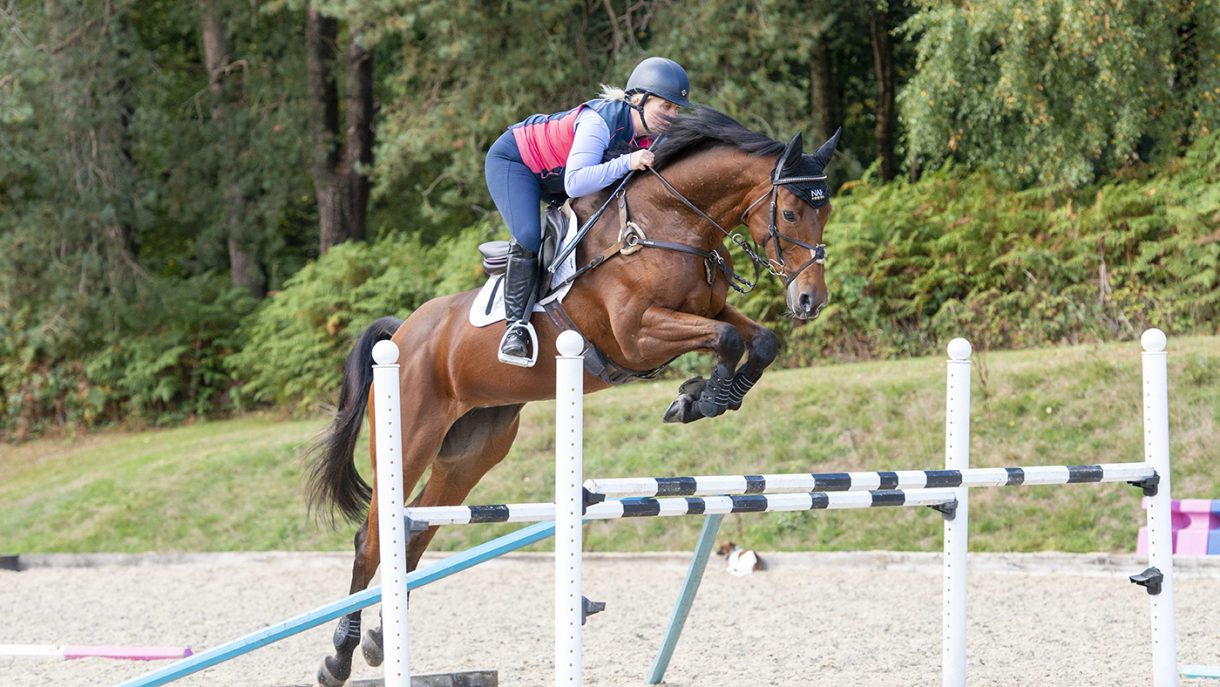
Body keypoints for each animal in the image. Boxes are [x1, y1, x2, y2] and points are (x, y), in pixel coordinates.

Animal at [309, 106, 841, 686]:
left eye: (826, 212)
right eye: (790, 212)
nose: (810, 300)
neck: (671, 224)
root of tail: (403, 332)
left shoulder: (709, 309)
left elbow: (759, 340)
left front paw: (706, 396)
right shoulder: (637, 335)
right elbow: (724, 339)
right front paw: (705, 396)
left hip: (470, 452)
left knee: (414, 536)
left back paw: (381, 640)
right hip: (409, 438)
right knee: (372, 539)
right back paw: (339, 655)